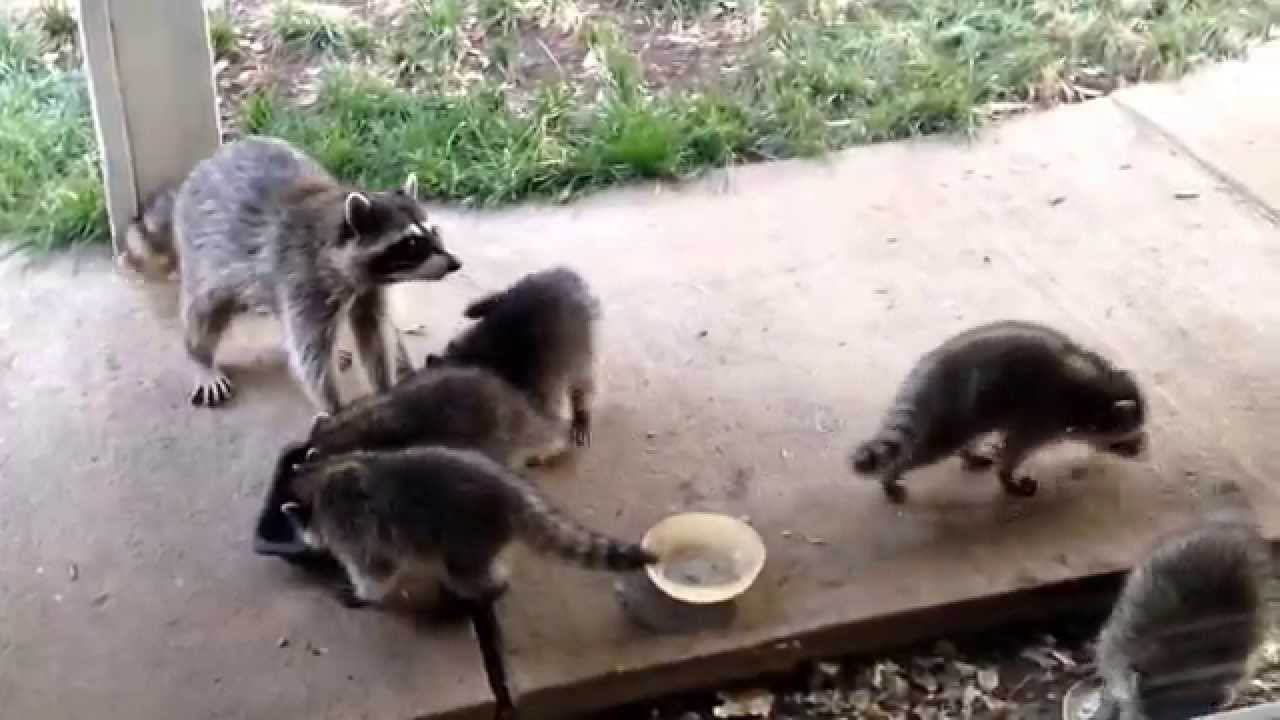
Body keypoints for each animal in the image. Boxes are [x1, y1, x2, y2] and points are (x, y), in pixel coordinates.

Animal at [124, 136, 461, 413]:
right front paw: (333, 407)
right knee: (204, 311)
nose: (454, 263)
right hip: (203, 252)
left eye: (434, 232)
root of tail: (195, 173)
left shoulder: (367, 289)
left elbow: (374, 334)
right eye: (411, 244)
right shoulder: (302, 276)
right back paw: (201, 358)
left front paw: (386, 385)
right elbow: (309, 354)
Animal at [279, 445, 658, 608]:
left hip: (468, 534)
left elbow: (376, 569)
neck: (319, 477)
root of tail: (511, 491)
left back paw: (488, 588)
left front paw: (363, 594)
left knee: (465, 572)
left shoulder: (353, 527)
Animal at [850, 320, 1147, 503]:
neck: (1098, 388)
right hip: (956, 411)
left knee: (971, 434)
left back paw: (969, 453)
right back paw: (891, 475)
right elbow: (1014, 449)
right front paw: (1008, 478)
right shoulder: (1043, 415)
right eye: (1133, 433)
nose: (1143, 449)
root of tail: (929, 364)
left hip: (977, 409)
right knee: (928, 449)